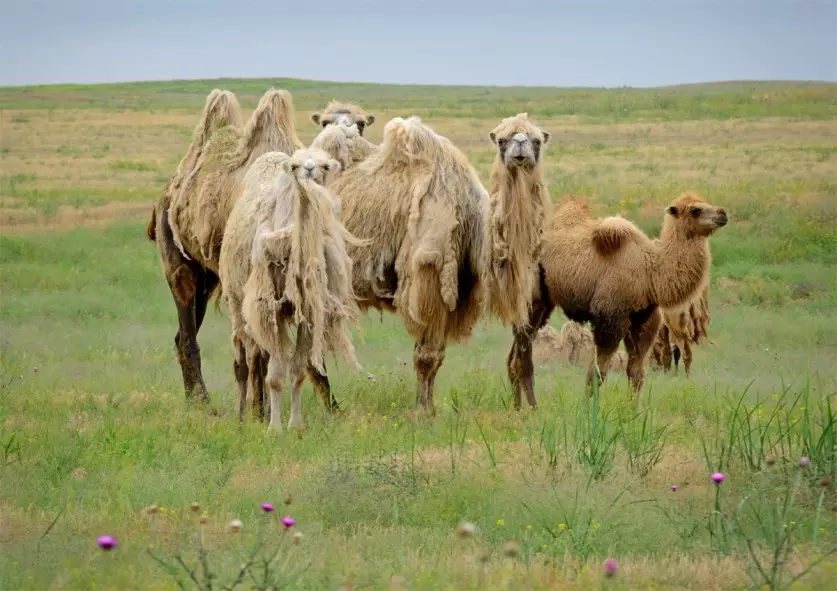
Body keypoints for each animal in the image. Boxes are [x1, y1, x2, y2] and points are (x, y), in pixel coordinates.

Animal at [146, 88, 304, 412]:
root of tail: (166, 197)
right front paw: (257, 411)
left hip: (210, 279)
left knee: (182, 335)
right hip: (181, 266)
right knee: (187, 331)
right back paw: (202, 402)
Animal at [220, 148, 364, 432]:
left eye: (325, 166)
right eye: (296, 166)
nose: (309, 170)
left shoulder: (310, 311)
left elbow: (297, 371)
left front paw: (295, 425)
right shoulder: (270, 309)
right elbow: (275, 376)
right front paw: (274, 429)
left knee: (259, 361)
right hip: (237, 304)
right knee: (244, 361)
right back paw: (244, 415)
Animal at [506, 192, 728, 404]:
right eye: (695, 210)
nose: (723, 214)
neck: (650, 273)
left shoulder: (644, 320)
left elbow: (636, 374)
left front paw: (632, 411)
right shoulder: (610, 318)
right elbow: (596, 374)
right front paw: (585, 411)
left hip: (542, 304)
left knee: (513, 358)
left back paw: (517, 407)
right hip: (532, 298)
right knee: (522, 358)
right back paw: (531, 409)